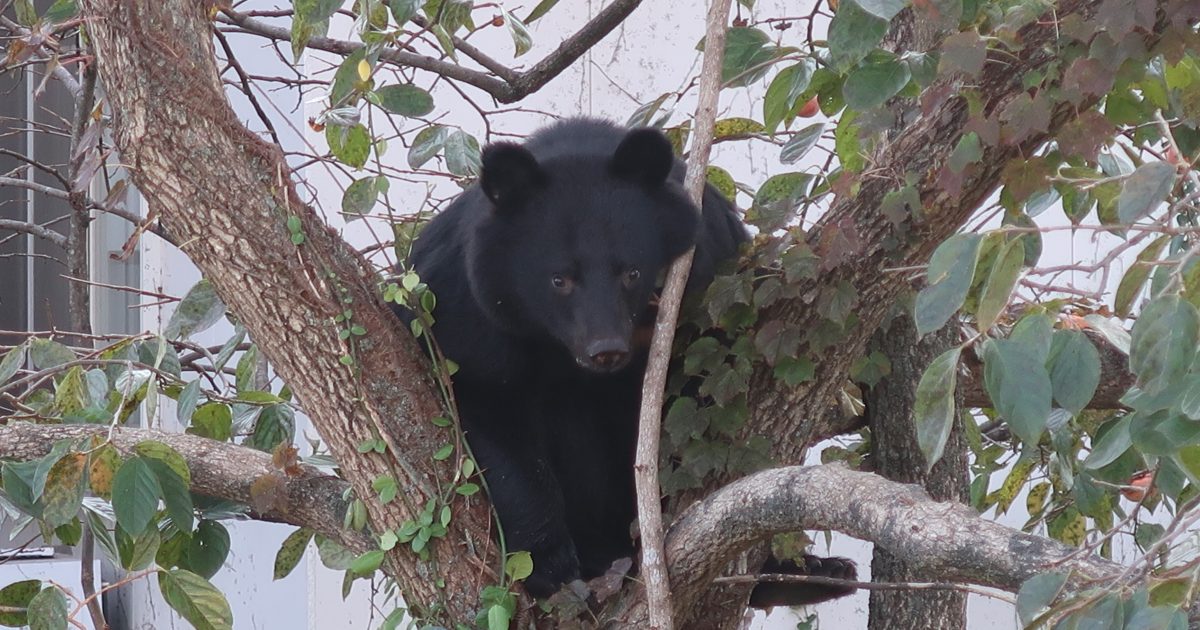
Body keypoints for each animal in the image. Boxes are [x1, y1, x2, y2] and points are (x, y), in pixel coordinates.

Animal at [396, 118, 855, 605]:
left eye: (631, 272)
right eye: (559, 279)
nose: (606, 349)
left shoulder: (710, 271)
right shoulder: (467, 311)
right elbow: (491, 413)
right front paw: (552, 569)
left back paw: (813, 573)